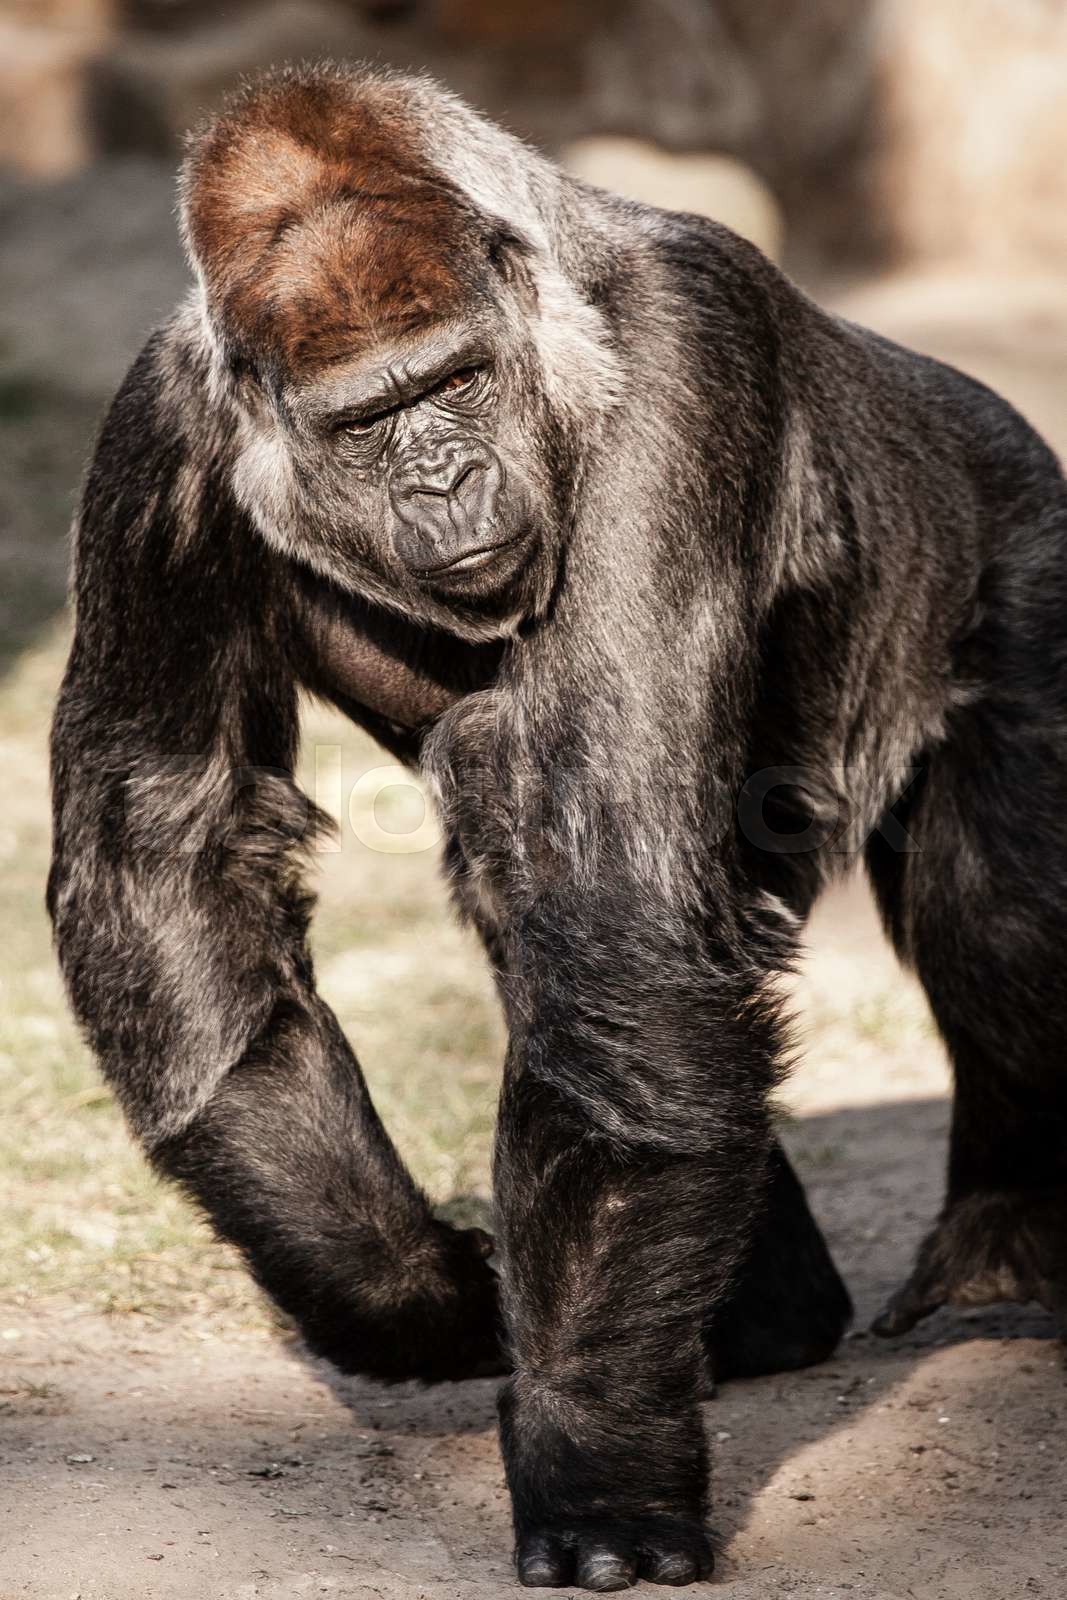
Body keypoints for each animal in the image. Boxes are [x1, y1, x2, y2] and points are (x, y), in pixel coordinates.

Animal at [48, 62, 1067, 1592]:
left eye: (455, 382)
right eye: (366, 422)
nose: (441, 481)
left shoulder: (676, 368)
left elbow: (613, 883)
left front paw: (594, 1449)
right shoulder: (159, 432)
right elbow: (165, 829)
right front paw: (394, 1283)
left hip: (1023, 536)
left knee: (994, 917)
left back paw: (1004, 1248)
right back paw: (773, 1306)